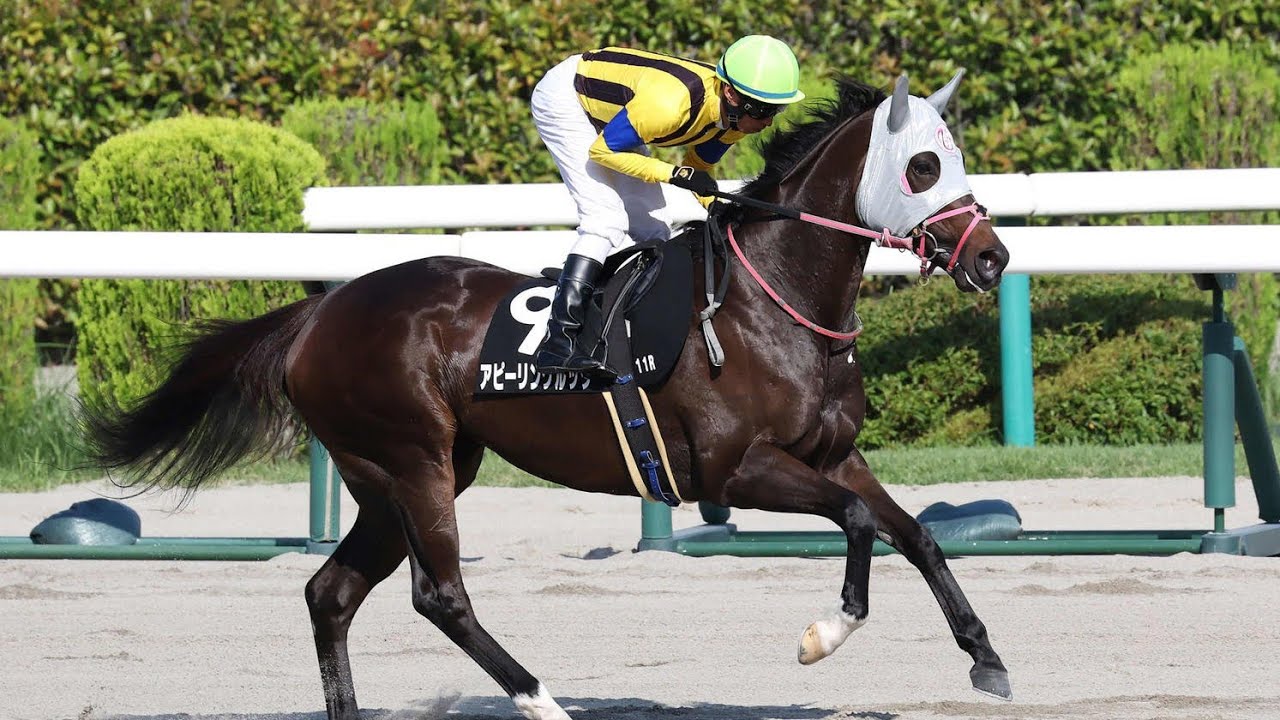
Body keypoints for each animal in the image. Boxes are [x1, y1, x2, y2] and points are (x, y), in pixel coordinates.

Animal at [83, 72, 1012, 720]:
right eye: (922, 166)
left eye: (956, 160)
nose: (991, 257)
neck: (771, 299)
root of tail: (320, 311)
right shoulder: (734, 470)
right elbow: (857, 525)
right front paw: (823, 636)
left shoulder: (835, 455)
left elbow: (917, 536)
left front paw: (987, 658)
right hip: (411, 463)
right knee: (438, 595)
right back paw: (541, 700)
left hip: (400, 475)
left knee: (331, 594)